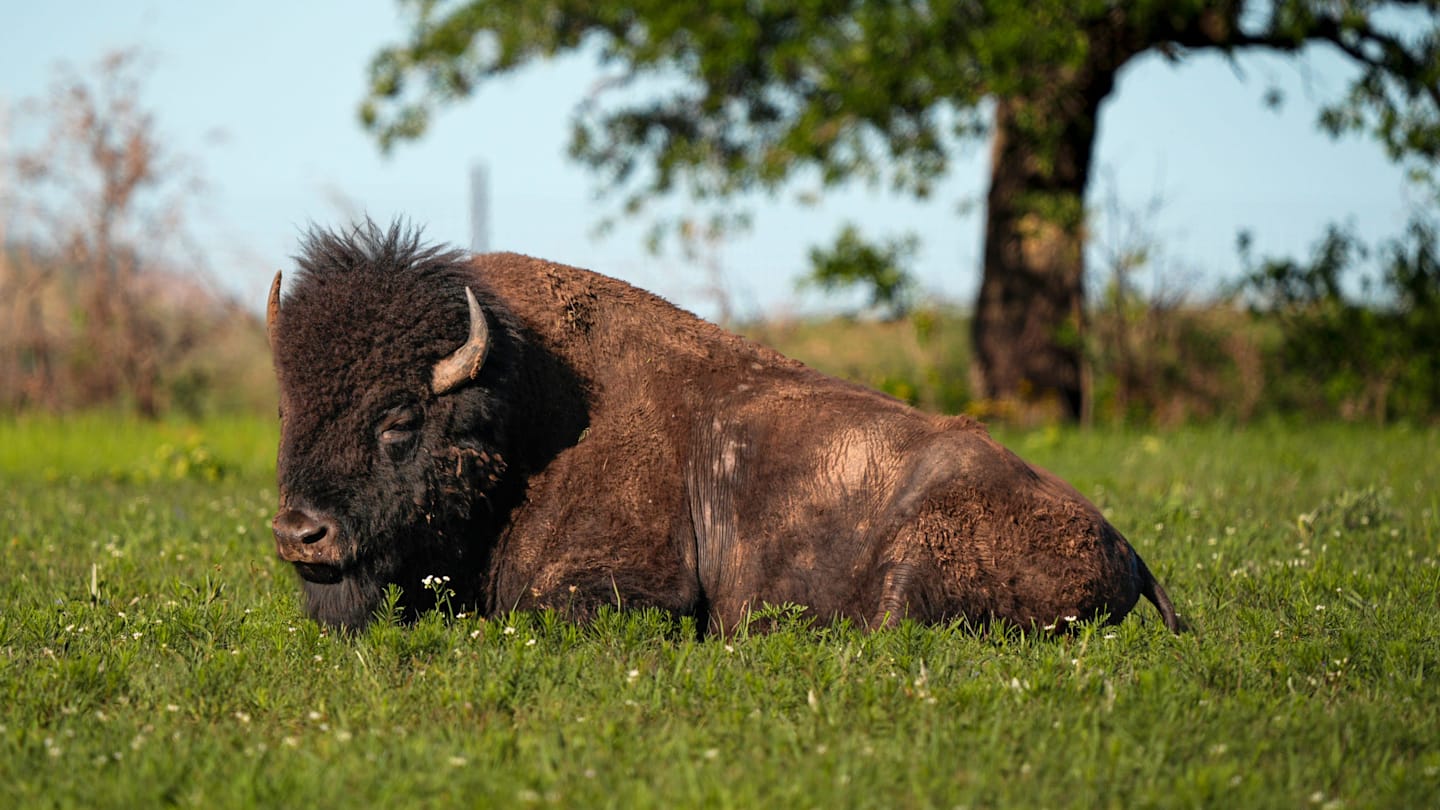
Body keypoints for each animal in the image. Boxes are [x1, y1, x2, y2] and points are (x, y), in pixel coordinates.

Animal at [268, 221, 1179, 634]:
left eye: (398, 420)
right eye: (289, 408)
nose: (299, 533)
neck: (520, 418)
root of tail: (1123, 545)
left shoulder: (620, 592)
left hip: (915, 568)